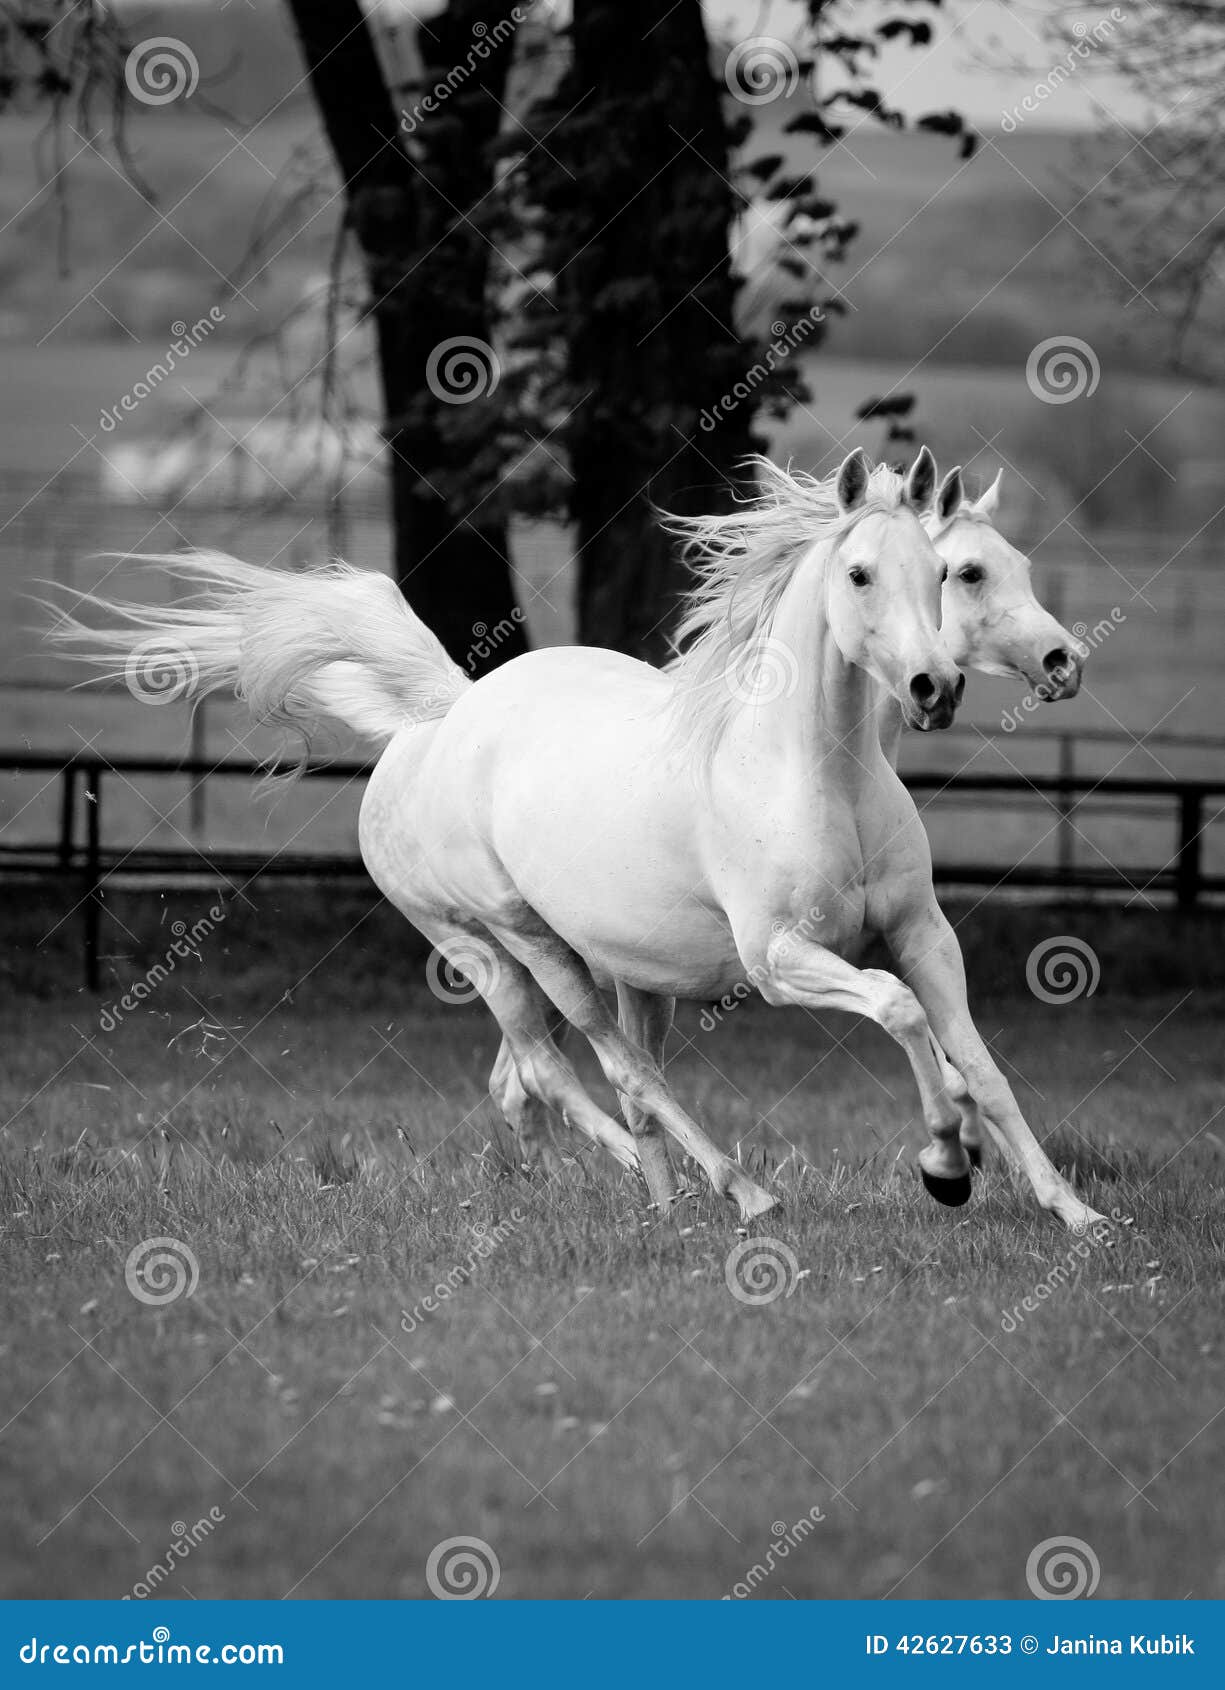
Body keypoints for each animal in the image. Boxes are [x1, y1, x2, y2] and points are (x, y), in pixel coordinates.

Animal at [49, 447, 1103, 1234]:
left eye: (941, 572)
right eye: (861, 574)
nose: (937, 687)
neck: (815, 774)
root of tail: (444, 717)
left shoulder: (924, 935)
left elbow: (975, 1061)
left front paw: (1070, 1211)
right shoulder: (778, 961)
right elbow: (895, 1012)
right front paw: (944, 1164)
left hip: (615, 965)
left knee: (589, 1076)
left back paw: (665, 1200)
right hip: (505, 946)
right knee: (588, 1069)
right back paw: (732, 1192)